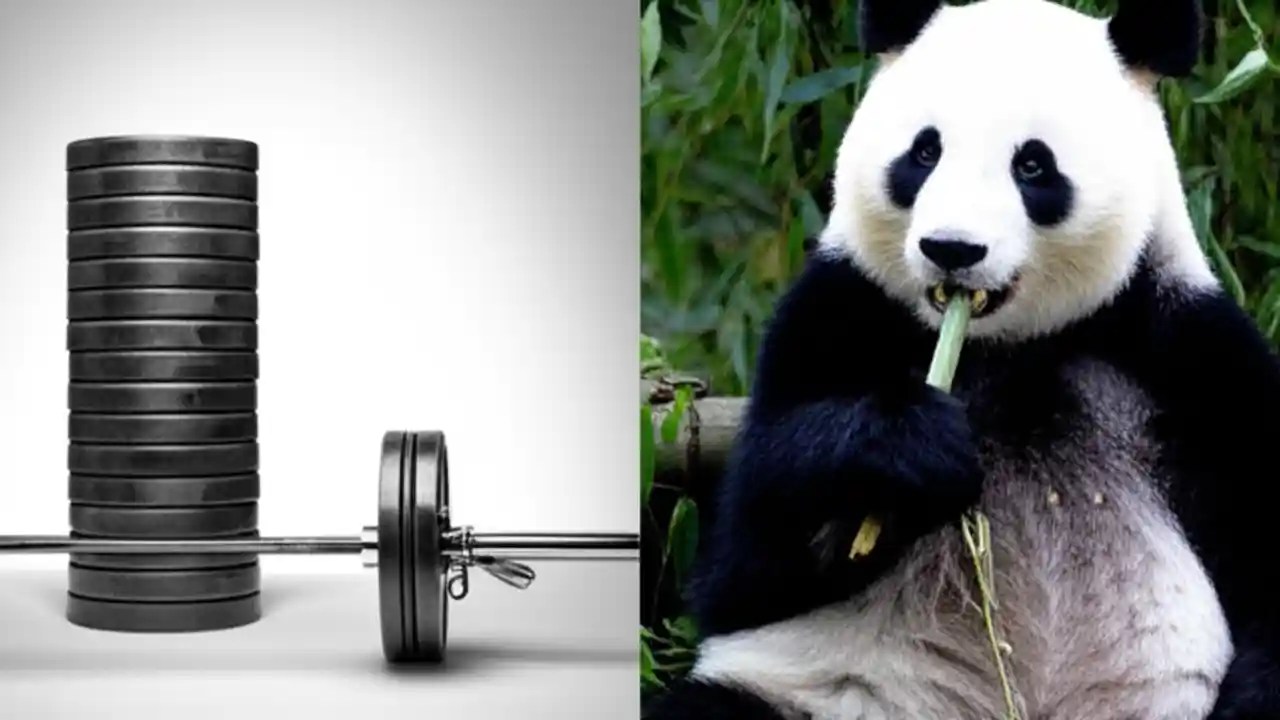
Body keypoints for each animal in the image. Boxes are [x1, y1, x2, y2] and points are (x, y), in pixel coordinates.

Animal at [643, 0, 1280, 719]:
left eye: (1032, 166)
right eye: (925, 152)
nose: (951, 249)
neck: (1003, 342)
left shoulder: (1188, 353)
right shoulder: (836, 315)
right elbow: (743, 566)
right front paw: (907, 450)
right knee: (710, 704)